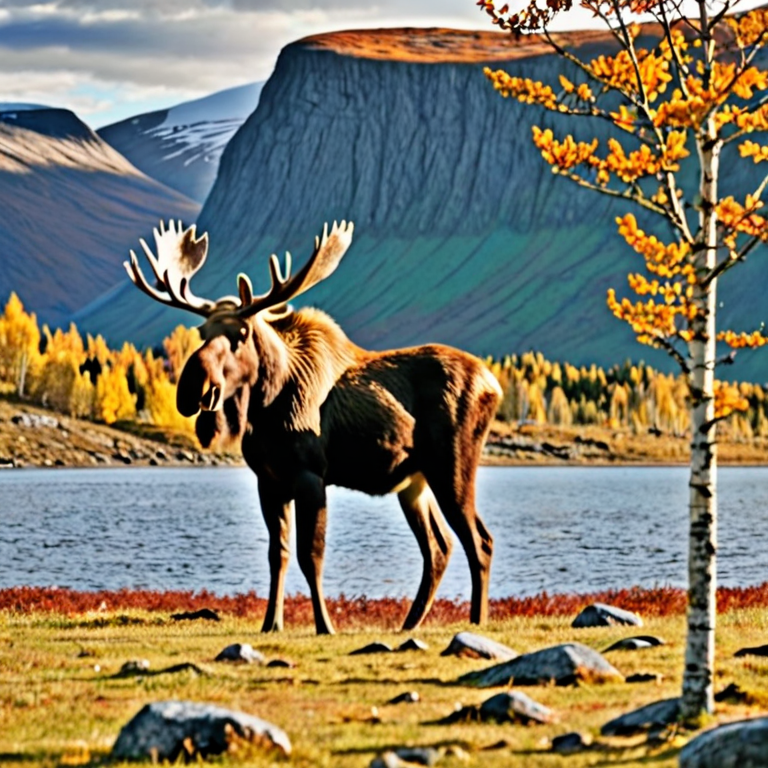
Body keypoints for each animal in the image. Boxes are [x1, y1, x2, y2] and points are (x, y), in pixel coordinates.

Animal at [125, 219, 501, 634]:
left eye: (242, 333)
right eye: (201, 333)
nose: (194, 387)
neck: (267, 407)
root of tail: (494, 385)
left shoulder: (310, 475)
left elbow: (311, 554)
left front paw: (325, 625)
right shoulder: (269, 482)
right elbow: (278, 554)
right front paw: (271, 624)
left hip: (451, 466)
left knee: (479, 540)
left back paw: (477, 621)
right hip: (414, 482)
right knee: (439, 547)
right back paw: (410, 624)